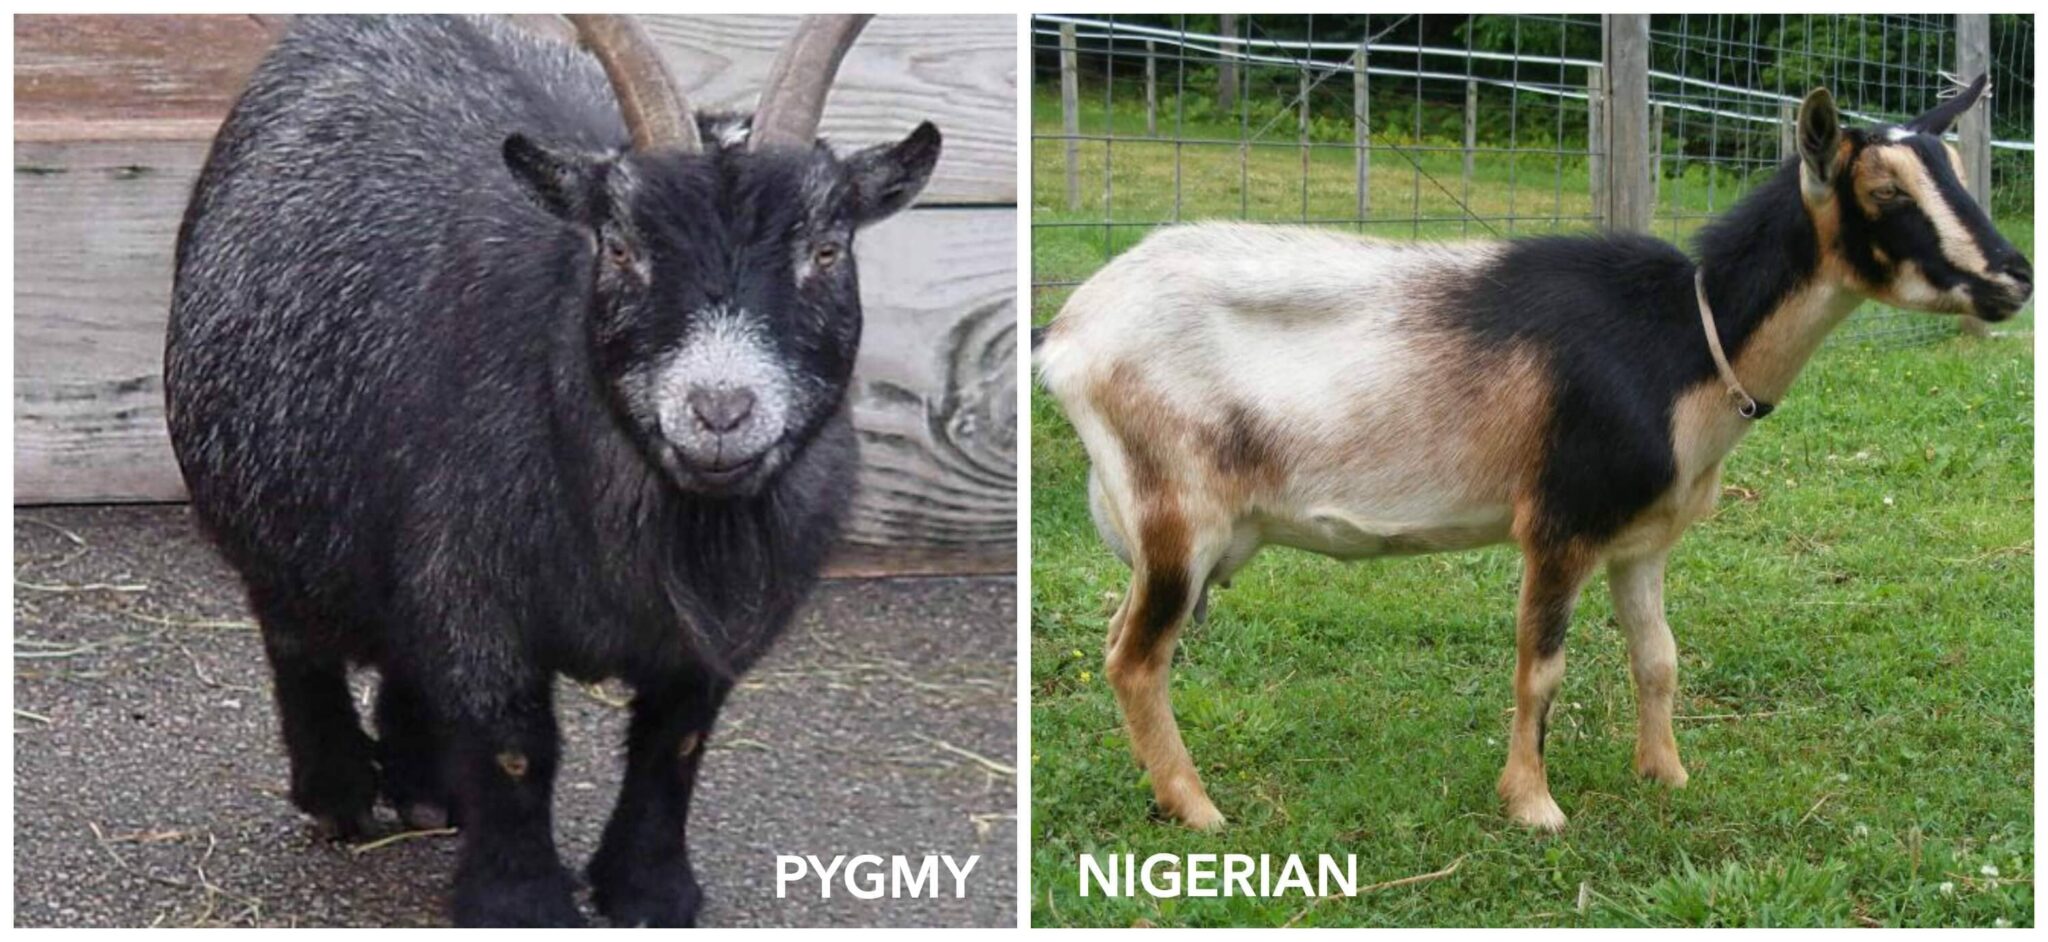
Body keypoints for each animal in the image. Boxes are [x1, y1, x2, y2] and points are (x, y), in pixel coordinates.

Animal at [164, 14, 939, 925]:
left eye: (826, 248)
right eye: (620, 246)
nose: (719, 412)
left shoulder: (711, 626)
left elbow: (675, 739)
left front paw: (649, 889)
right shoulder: (473, 586)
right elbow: (513, 744)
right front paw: (521, 901)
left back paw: (425, 790)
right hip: (264, 494)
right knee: (294, 636)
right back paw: (342, 794)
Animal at [1036, 79, 2028, 833]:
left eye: (1957, 172)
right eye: (1887, 193)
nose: (2013, 278)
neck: (1686, 340)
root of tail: (1069, 335)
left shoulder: (1641, 540)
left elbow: (1659, 657)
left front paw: (1666, 776)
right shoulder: (1560, 522)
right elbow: (1540, 666)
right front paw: (1535, 808)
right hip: (1177, 515)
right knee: (1134, 658)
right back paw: (1200, 810)